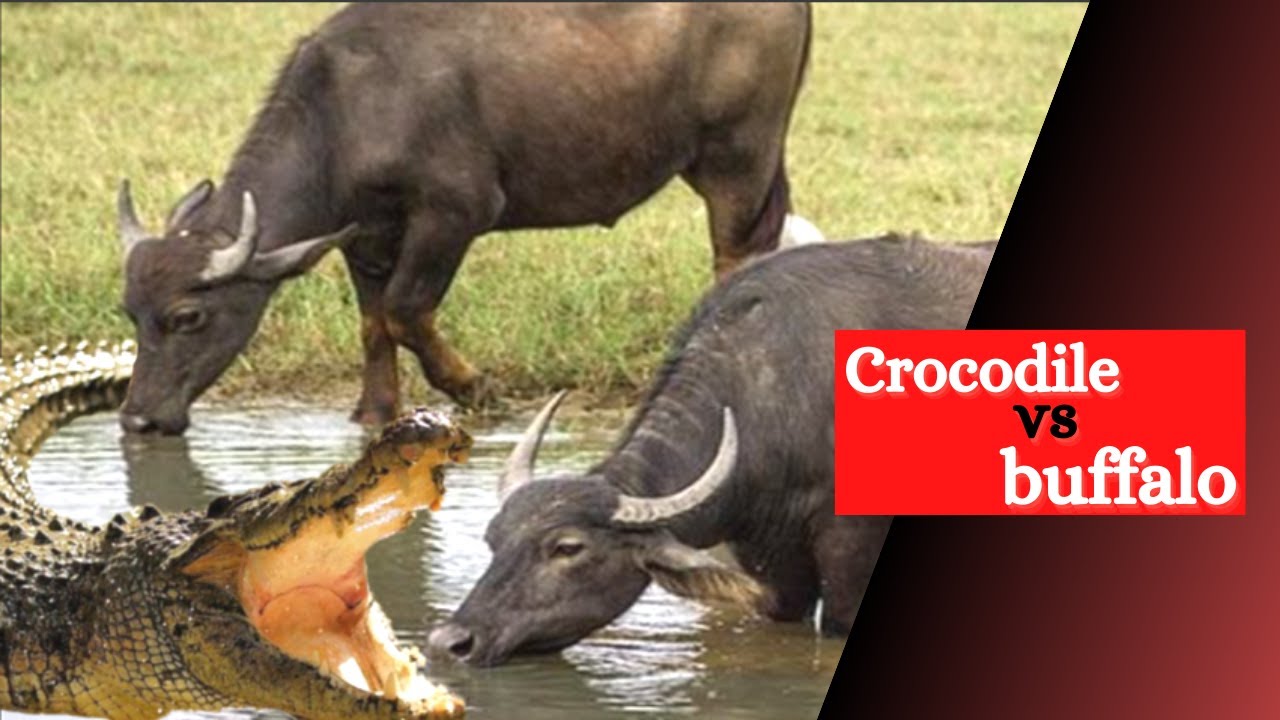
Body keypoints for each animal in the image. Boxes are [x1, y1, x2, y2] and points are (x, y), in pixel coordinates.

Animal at [116, 2, 815, 434]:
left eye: (188, 316)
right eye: (130, 313)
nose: (137, 419)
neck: (345, 112)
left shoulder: (454, 213)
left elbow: (406, 311)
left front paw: (476, 389)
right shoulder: (365, 237)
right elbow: (374, 325)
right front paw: (374, 414)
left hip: (736, 157)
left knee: (735, 256)